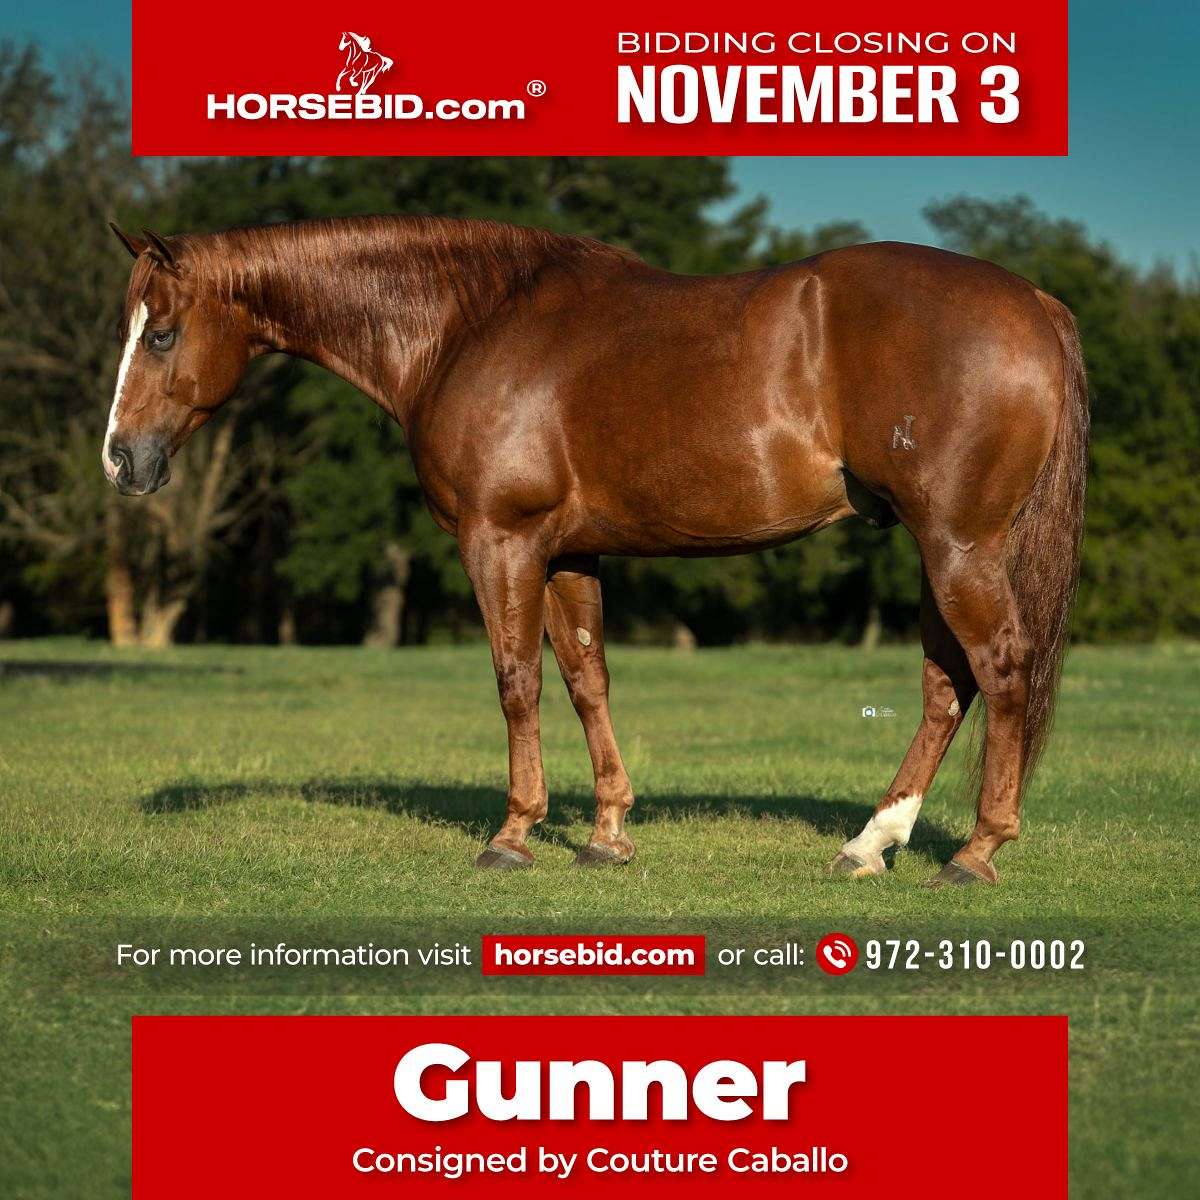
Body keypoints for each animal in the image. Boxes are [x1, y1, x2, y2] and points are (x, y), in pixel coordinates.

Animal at [103, 215, 1088, 887]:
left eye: (162, 332)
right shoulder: (570, 554)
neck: (469, 325)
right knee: (947, 685)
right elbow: (586, 678)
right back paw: (870, 843)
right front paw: (609, 834)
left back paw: (975, 851)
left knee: (998, 668)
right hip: (940, 549)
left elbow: (517, 682)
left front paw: (513, 834)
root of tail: (1033, 302)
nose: (120, 459)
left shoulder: (500, 541)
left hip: (957, 544)